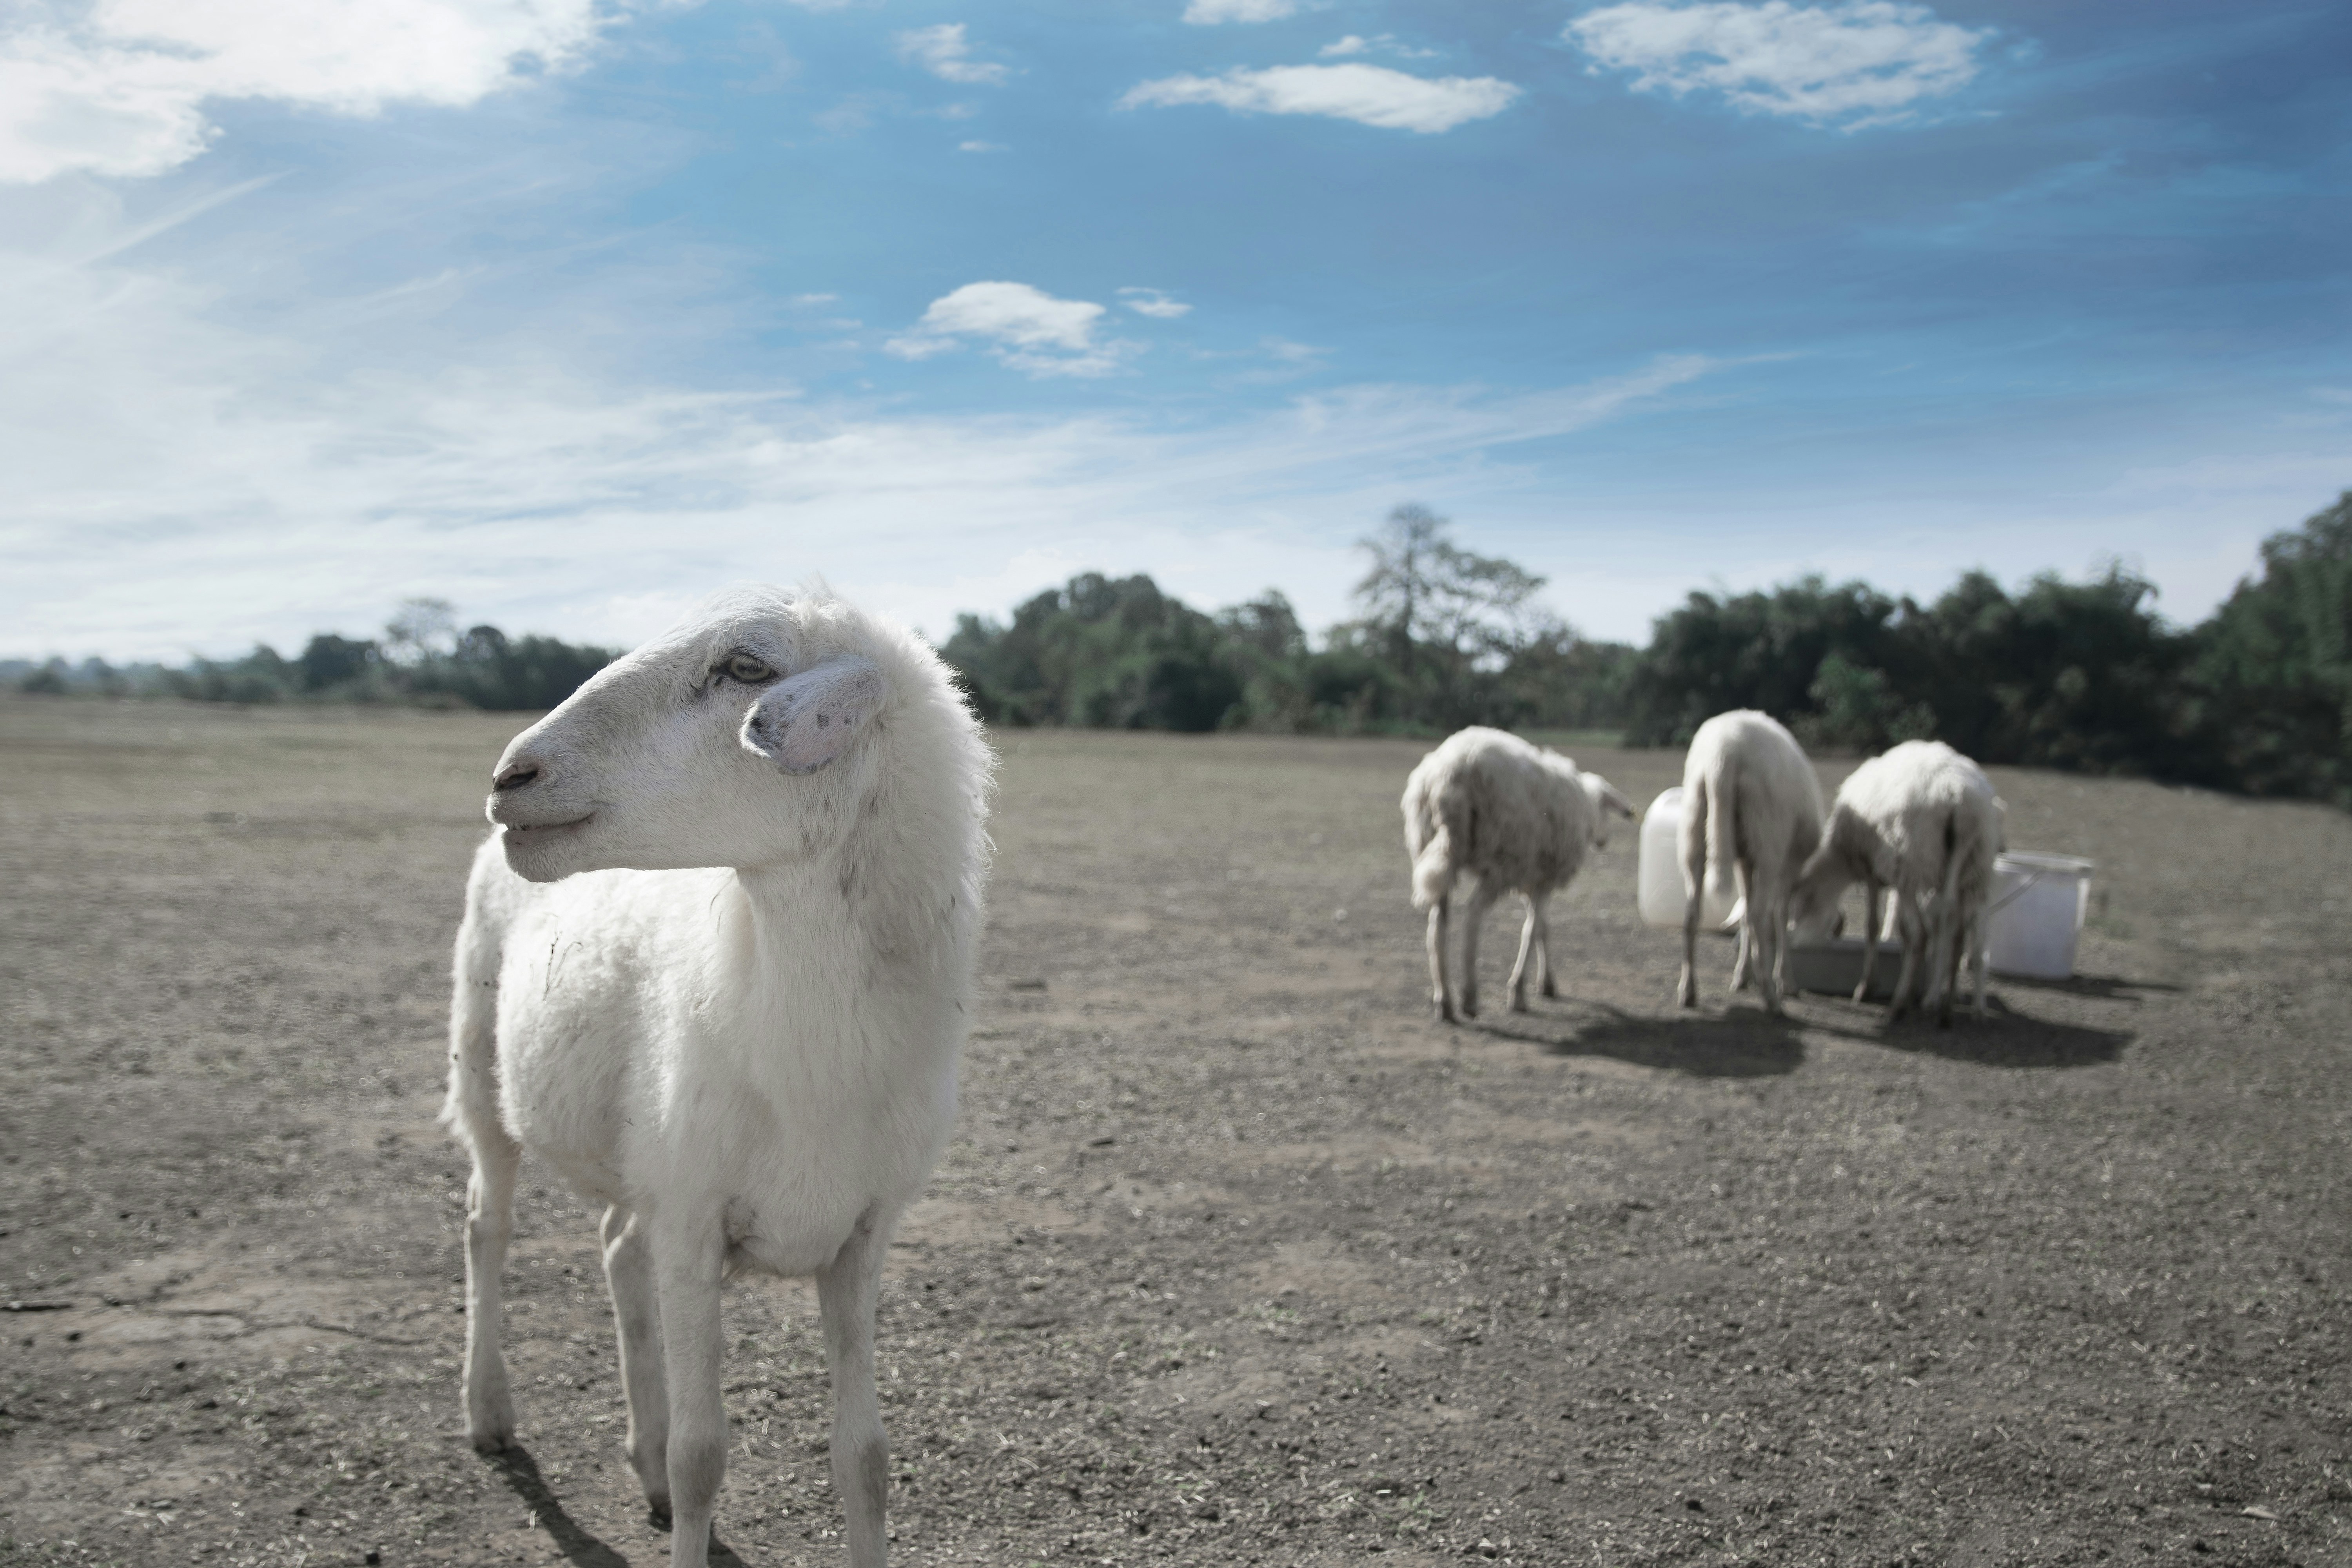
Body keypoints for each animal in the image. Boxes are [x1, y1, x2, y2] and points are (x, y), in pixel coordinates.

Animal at [441, 585, 992, 1568]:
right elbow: (704, 1458)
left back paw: (642, 1453)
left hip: (650, 1159)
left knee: (619, 1245)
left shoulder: (859, 1235)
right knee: (485, 1224)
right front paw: (682, 1474)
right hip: (481, 1067)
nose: (511, 776)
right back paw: (491, 1410)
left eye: (745, 666)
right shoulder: (696, 1225)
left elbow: (867, 1459)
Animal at [1402, 726, 1635, 1023]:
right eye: (1608, 808)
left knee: (1438, 923)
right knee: (1473, 914)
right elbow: (1531, 929)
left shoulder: (1531, 879)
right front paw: (1518, 992)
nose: (1603, 842)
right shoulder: (1546, 877)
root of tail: (1450, 776)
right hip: (1503, 857)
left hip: (1430, 844)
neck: (1588, 808)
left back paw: (1444, 1001)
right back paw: (1470, 997)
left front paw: (1546, 983)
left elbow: (1542, 928)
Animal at [1674, 710, 1826, 1016]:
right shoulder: (1788, 864)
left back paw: (1688, 991)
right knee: (1759, 915)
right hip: (1768, 838)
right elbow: (1779, 916)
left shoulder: (1745, 861)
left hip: (1696, 830)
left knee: (1692, 913)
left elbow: (1743, 912)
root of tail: (1724, 755)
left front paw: (1743, 976)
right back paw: (1771, 998)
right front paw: (1785, 980)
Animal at [1788, 739, 2001, 1025]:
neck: (1843, 859)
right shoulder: (1897, 880)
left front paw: (1867, 987)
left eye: (1800, 909)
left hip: (1912, 862)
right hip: (1974, 867)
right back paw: (1945, 1008)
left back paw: (1899, 1006)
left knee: (1923, 935)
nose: (1797, 943)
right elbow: (1901, 931)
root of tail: (1960, 799)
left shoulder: (1873, 871)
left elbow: (1874, 928)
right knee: (1957, 931)